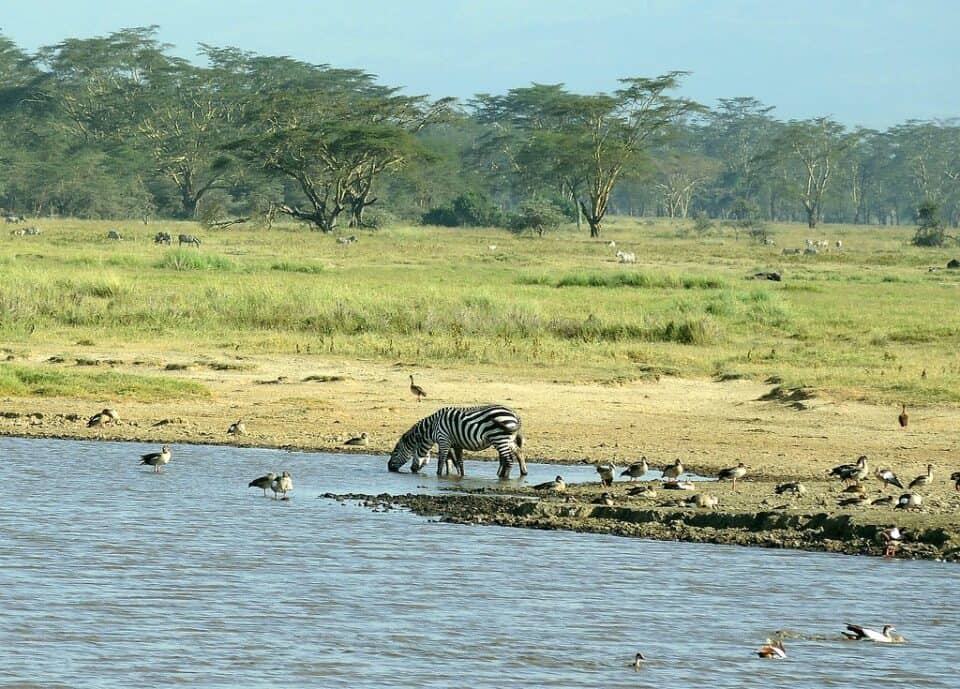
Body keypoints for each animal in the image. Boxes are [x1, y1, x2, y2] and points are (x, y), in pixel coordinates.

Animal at [388, 405, 526, 478]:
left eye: (395, 452)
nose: (388, 468)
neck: (432, 427)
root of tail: (515, 415)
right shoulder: (456, 444)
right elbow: (458, 462)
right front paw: (461, 476)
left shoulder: (443, 439)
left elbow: (441, 461)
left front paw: (439, 475)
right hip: (508, 439)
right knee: (519, 453)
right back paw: (523, 472)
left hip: (500, 438)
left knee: (509, 460)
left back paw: (505, 478)